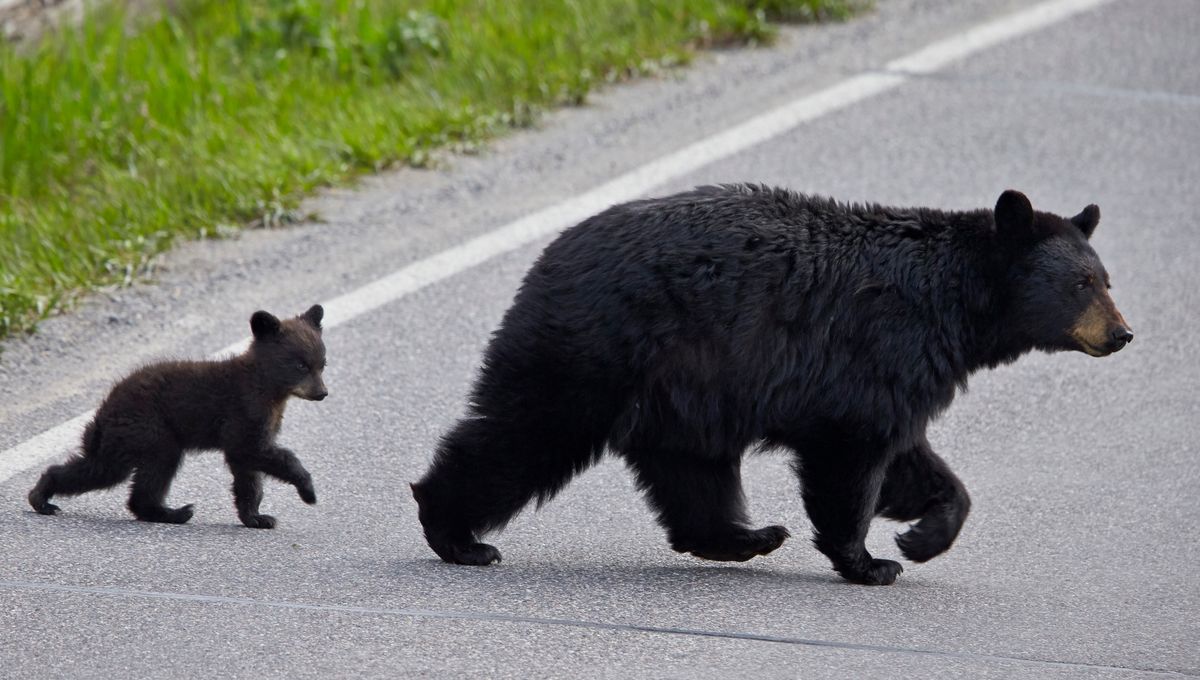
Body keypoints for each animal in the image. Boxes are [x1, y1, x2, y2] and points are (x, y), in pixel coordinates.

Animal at [28, 305, 328, 529]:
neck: (268, 388)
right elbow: (254, 451)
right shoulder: (244, 411)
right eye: (300, 365)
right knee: (126, 468)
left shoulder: (257, 422)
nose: (322, 393)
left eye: (322, 363)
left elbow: (247, 471)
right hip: (148, 429)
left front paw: (256, 517)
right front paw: (308, 490)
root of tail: (104, 409)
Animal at [411, 186, 1133, 585]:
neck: (951, 301)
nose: (1123, 333)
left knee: (690, 472)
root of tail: (548, 256)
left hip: (683, 392)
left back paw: (749, 536)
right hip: (596, 351)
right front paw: (870, 562)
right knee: (524, 433)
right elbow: (854, 459)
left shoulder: (904, 372)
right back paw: (456, 534)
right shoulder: (875, 352)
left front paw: (923, 534)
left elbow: (913, 459)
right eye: (1082, 284)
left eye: (1105, 279)